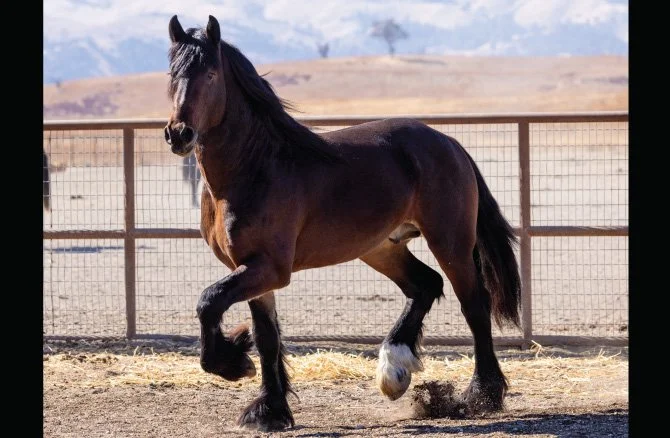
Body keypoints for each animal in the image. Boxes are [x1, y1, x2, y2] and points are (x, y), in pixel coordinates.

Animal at [163, 15, 521, 431]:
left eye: (211, 74)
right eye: (172, 73)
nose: (179, 134)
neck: (255, 169)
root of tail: (449, 143)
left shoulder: (269, 267)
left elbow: (208, 302)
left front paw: (235, 363)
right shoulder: (252, 269)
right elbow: (267, 337)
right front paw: (270, 409)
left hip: (450, 242)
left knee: (474, 305)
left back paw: (482, 394)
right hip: (381, 248)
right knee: (425, 285)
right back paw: (394, 370)